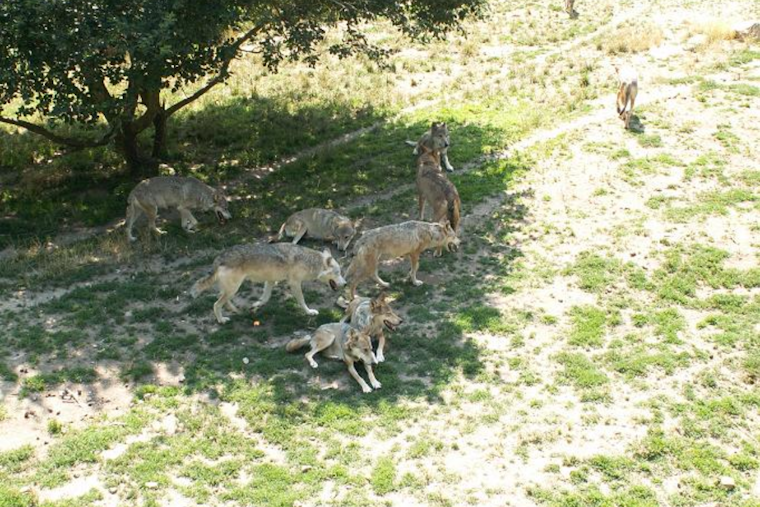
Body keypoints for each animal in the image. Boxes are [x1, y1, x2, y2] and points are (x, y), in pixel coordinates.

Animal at [191, 243, 346, 324]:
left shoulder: (271, 280)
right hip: (234, 288)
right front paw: (309, 312)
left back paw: (236, 311)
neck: (310, 261)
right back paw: (222, 320)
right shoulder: (295, 283)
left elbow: (265, 298)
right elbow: (302, 301)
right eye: (338, 273)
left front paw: (255, 305)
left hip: (231, 289)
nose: (345, 283)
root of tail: (219, 257)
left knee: (222, 299)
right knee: (216, 304)